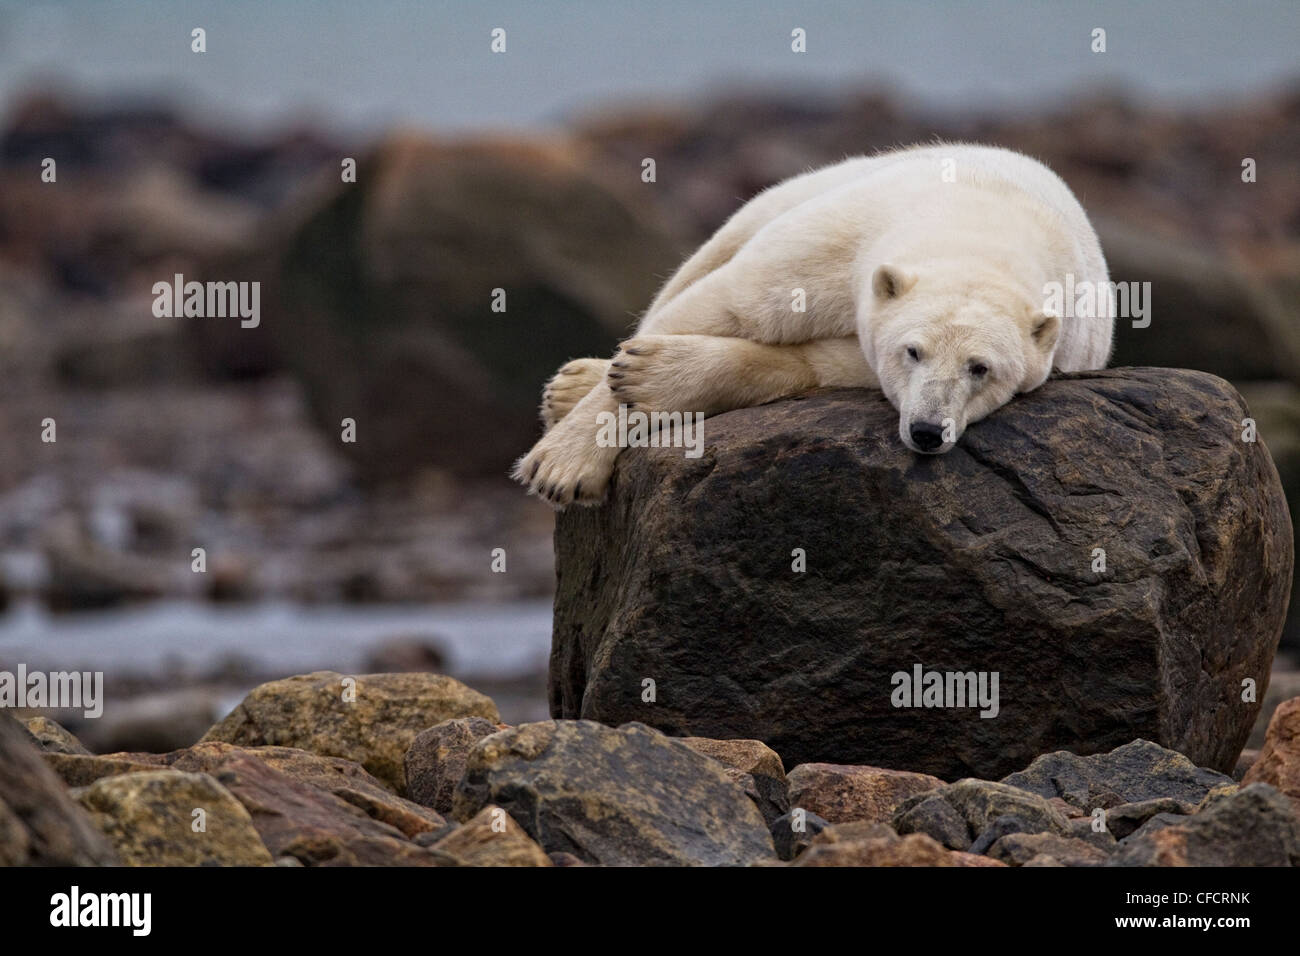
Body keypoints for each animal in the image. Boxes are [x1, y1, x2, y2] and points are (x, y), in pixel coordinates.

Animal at [515, 143, 1115, 507]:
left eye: (981, 369)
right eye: (913, 351)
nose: (927, 431)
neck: (978, 228)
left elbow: (819, 359)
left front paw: (657, 377)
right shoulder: (840, 242)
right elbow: (729, 304)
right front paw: (565, 464)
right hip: (793, 195)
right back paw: (572, 383)